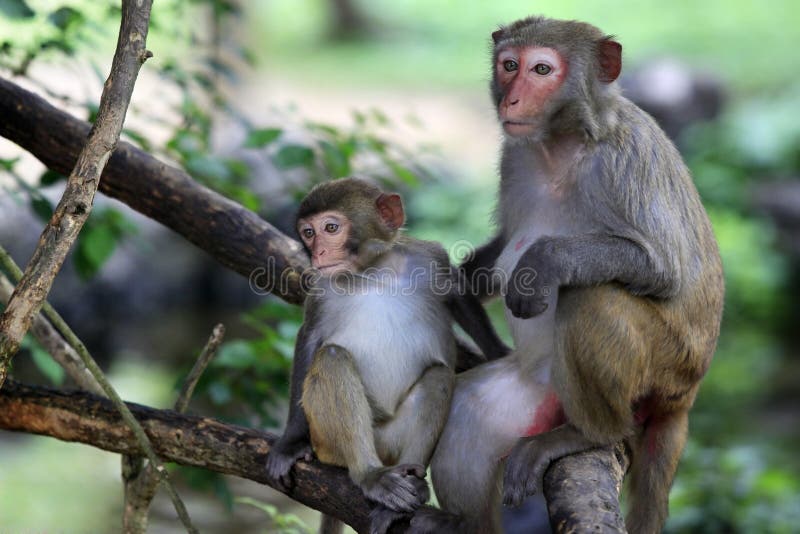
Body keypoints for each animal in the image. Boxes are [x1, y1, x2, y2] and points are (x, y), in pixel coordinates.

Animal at [264, 177, 510, 533]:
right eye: (308, 233)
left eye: (330, 228)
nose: (319, 252)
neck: (374, 271)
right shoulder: (321, 288)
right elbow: (310, 338)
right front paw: (292, 442)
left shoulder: (429, 258)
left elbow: (459, 297)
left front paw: (500, 353)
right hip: (330, 442)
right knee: (333, 358)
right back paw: (371, 477)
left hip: (392, 439)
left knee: (438, 375)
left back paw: (410, 483)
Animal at [411, 16, 724, 534]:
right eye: (509, 65)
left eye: (542, 70)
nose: (512, 100)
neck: (562, 144)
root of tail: (688, 394)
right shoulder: (514, 158)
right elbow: (496, 253)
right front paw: (458, 289)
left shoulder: (627, 159)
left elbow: (665, 268)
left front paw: (542, 262)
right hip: (538, 394)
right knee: (466, 420)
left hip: (666, 366)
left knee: (591, 297)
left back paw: (588, 433)